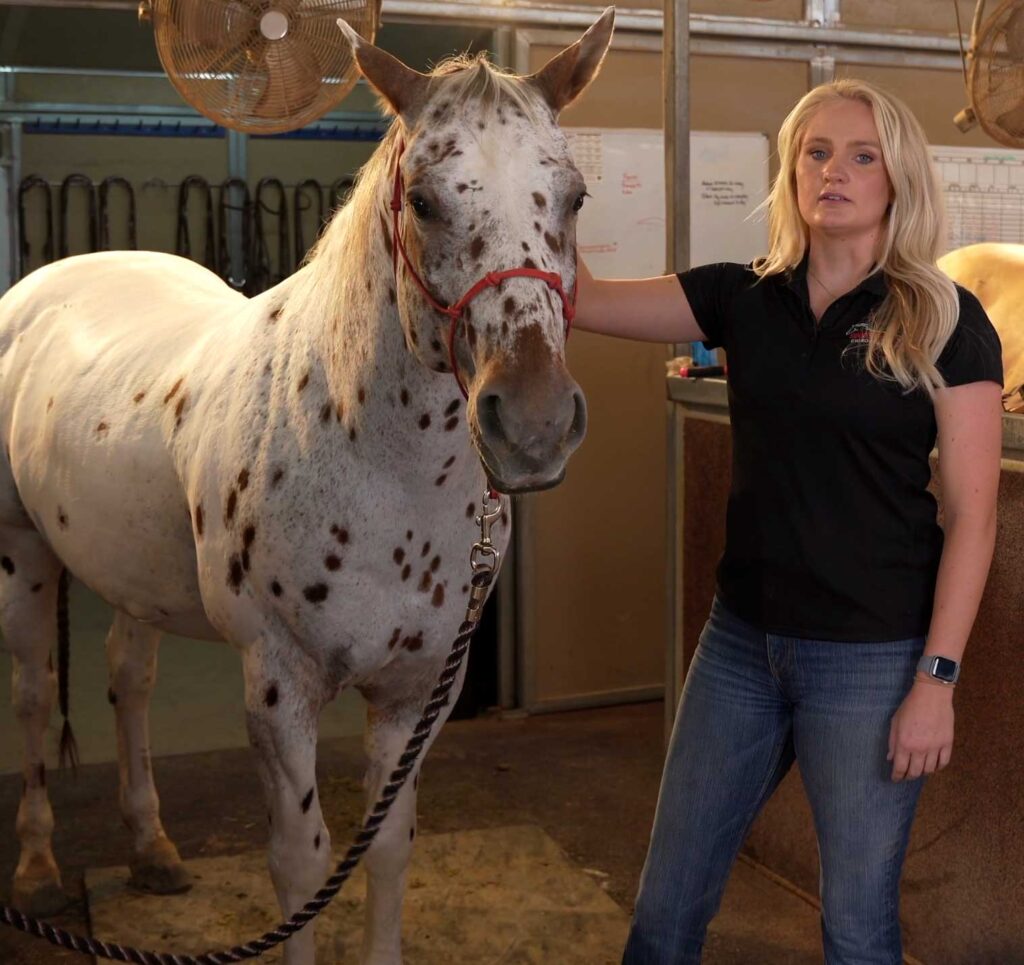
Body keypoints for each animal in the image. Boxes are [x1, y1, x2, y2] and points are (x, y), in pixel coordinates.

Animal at [0, 10, 614, 963]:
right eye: (424, 201)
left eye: (575, 195)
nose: (535, 424)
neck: (376, 470)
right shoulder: (278, 685)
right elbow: (302, 861)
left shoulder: (417, 687)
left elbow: (388, 846)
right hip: (25, 555)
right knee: (34, 694)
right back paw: (35, 865)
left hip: (131, 575)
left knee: (128, 679)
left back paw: (151, 847)